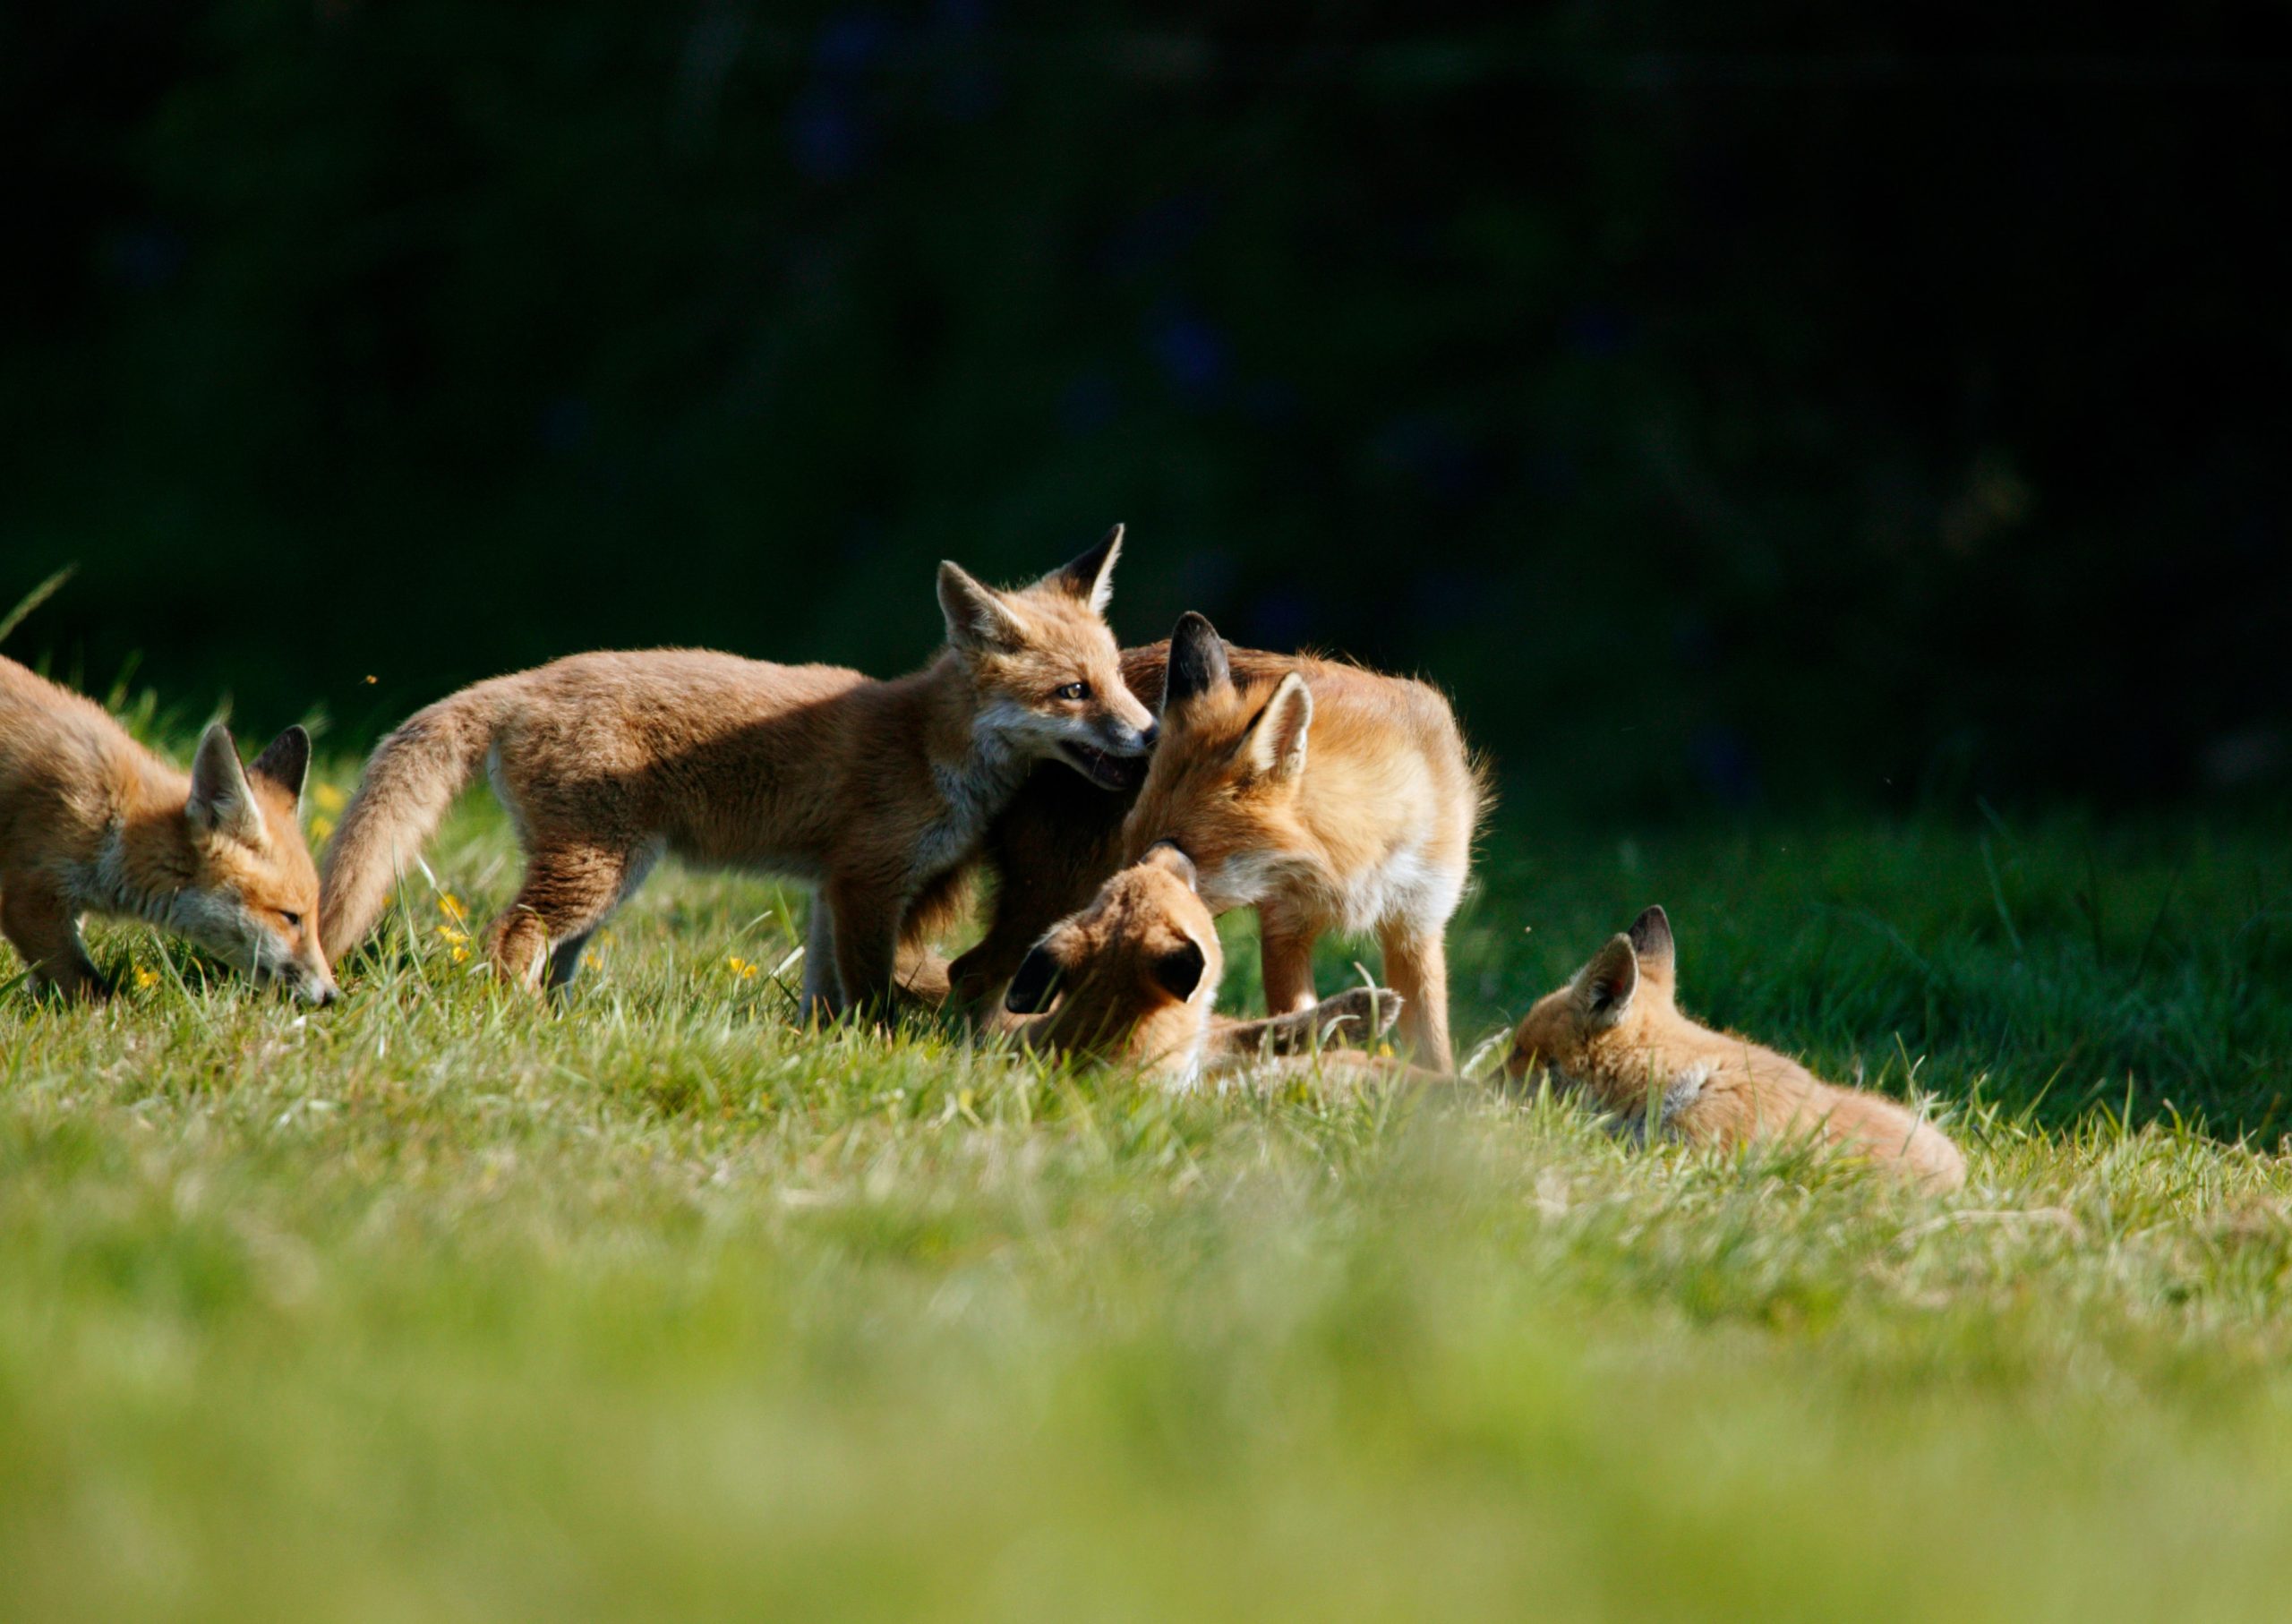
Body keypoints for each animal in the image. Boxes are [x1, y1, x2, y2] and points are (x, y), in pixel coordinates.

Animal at [318, 529, 1155, 1015]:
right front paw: (874, 1047)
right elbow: (871, 992)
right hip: (598, 868)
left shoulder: (832, 889)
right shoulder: (866, 883)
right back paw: (514, 1021)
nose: (1151, 736)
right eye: (1073, 692)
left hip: (608, 880)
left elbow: (824, 993)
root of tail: (524, 681)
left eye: (1117, 679)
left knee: (553, 951)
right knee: (513, 930)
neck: (929, 748)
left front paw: (822, 1051)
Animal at [1115, 612, 1484, 1070]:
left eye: (1173, 847)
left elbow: (1433, 1050)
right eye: (1129, 839)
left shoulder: (1418, 926)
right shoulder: (1284, 927)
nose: (1111, 914)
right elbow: (1299, 1018)